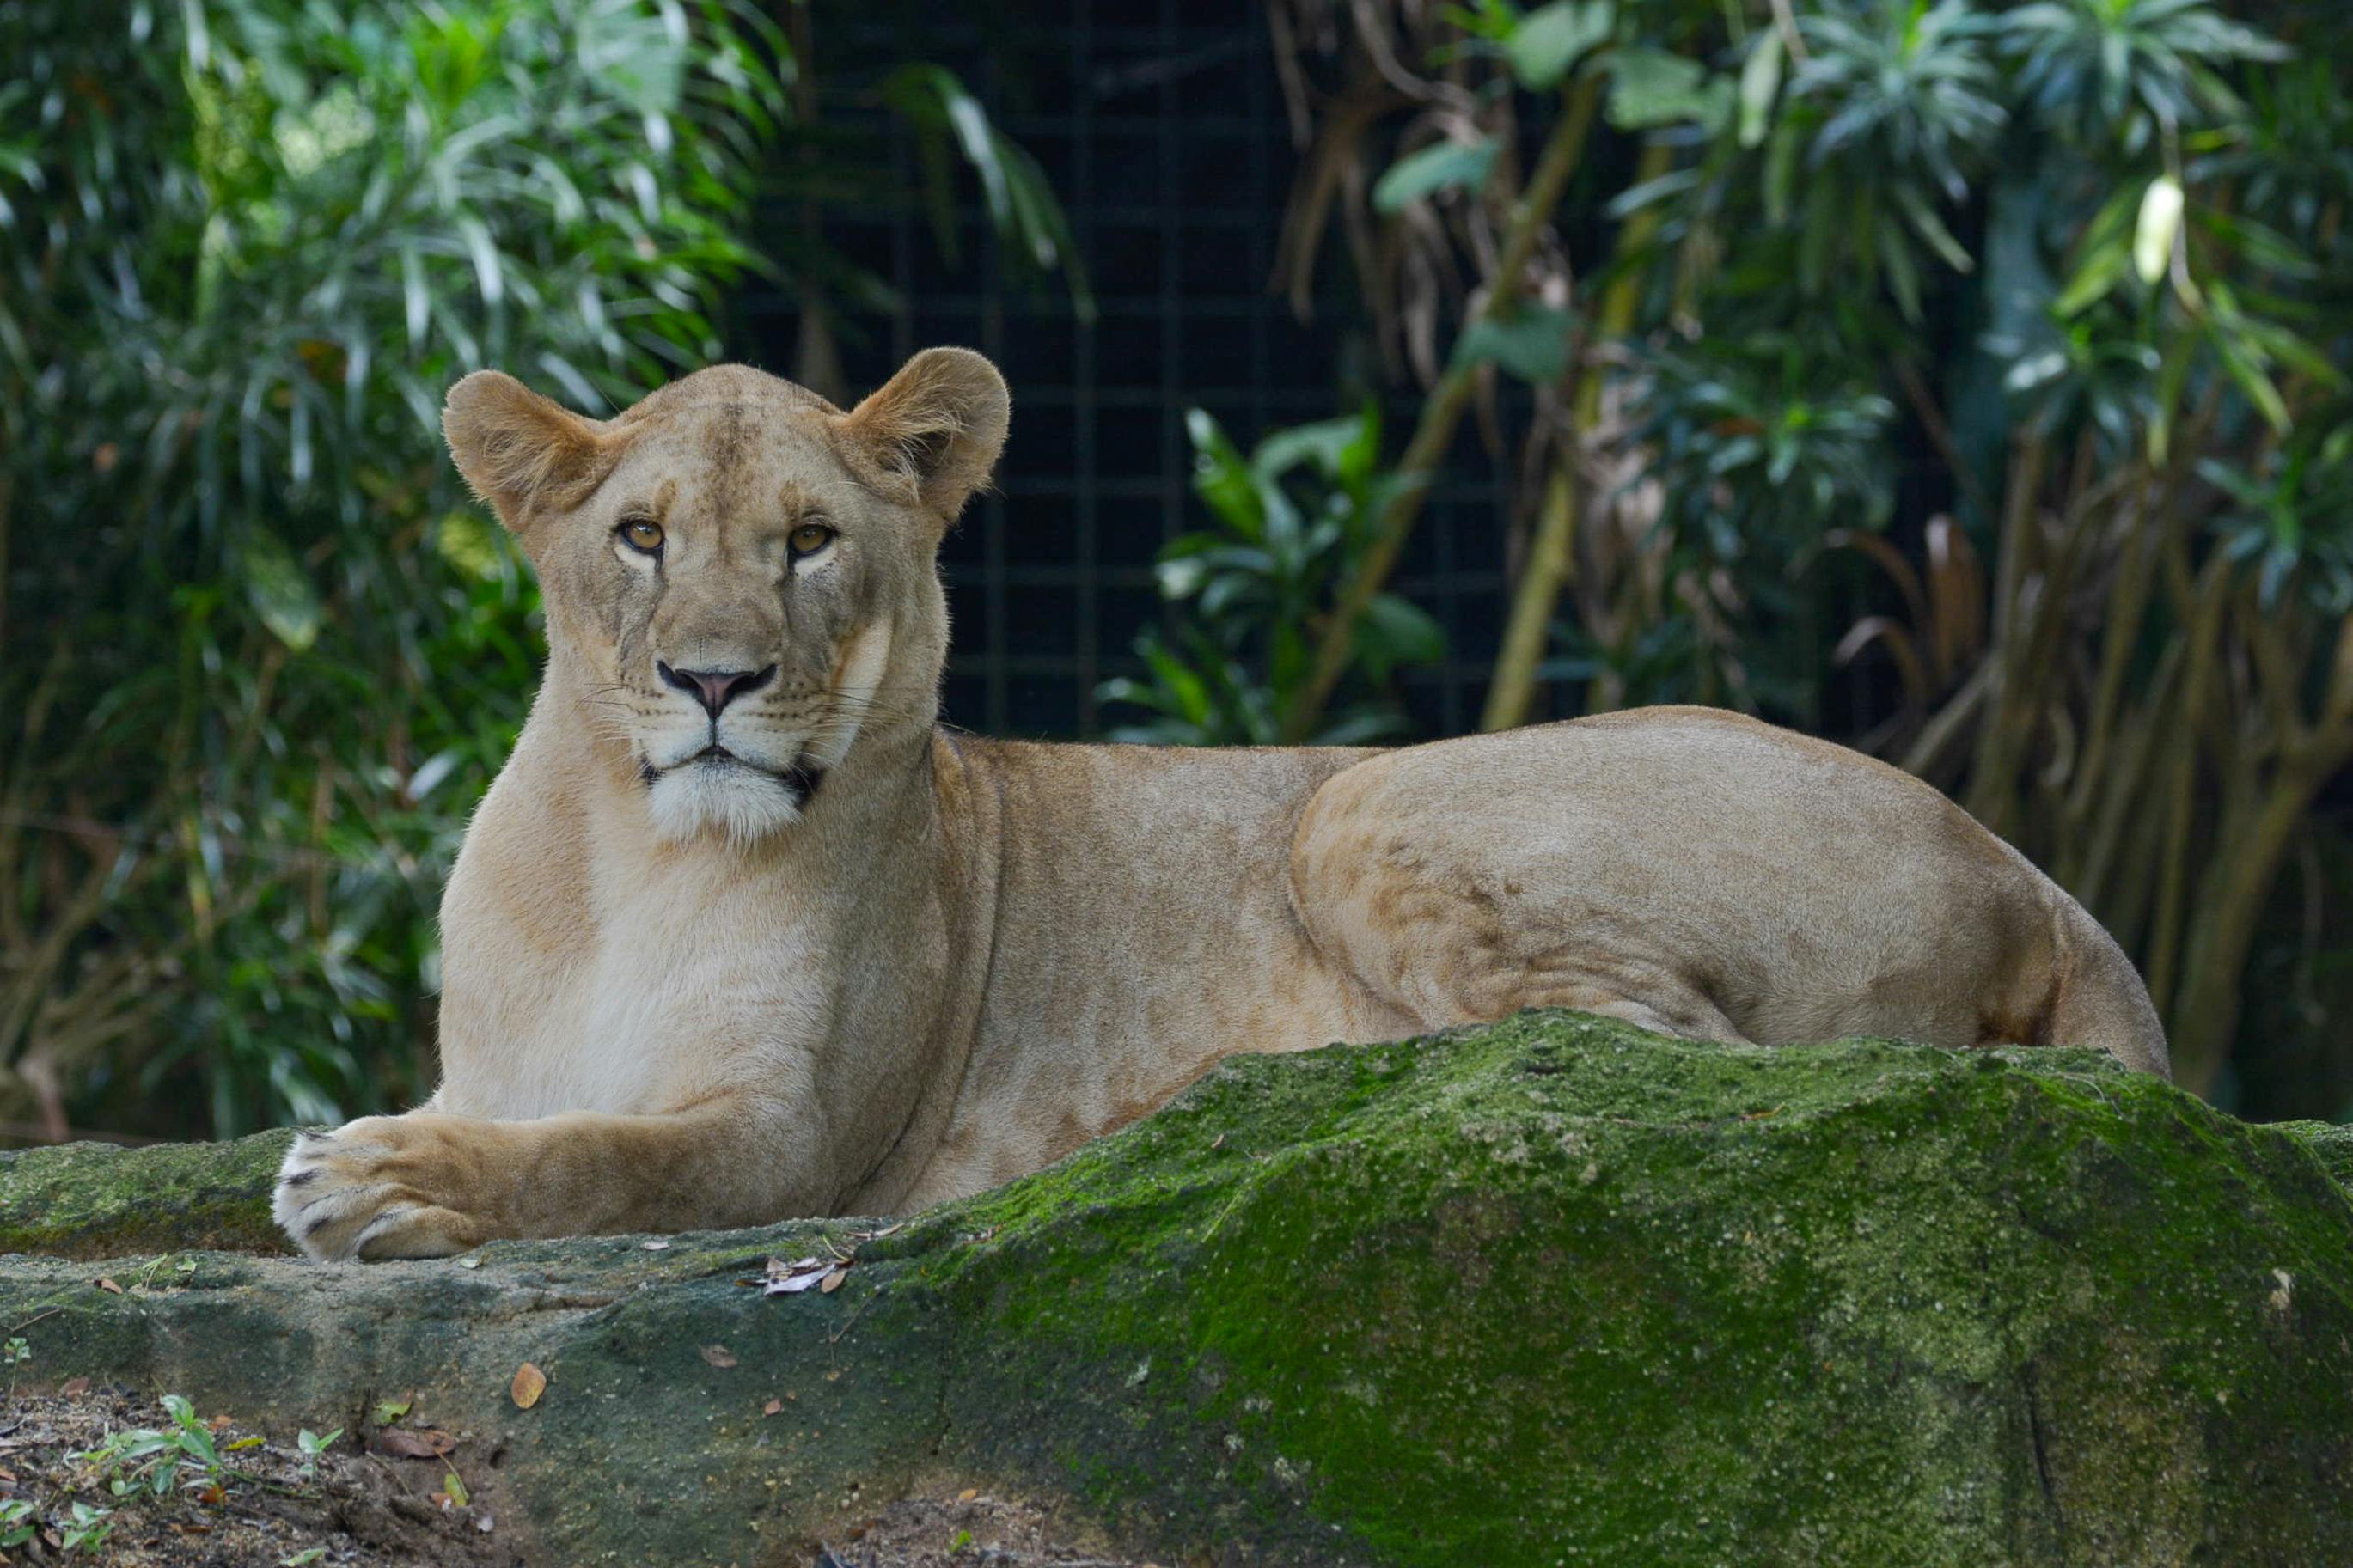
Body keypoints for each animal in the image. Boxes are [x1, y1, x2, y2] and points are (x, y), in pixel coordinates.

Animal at [272, 349, 2169, 1262]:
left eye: (808, 541)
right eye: (641, 538)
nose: (717, 683)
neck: (632, 860)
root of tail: (2029, 868)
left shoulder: (797, 1144)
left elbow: (603, 1157)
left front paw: (378, 1185)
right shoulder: (508, 1065)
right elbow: (529, 1125)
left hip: (1362, 802)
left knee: (1652, 1068)